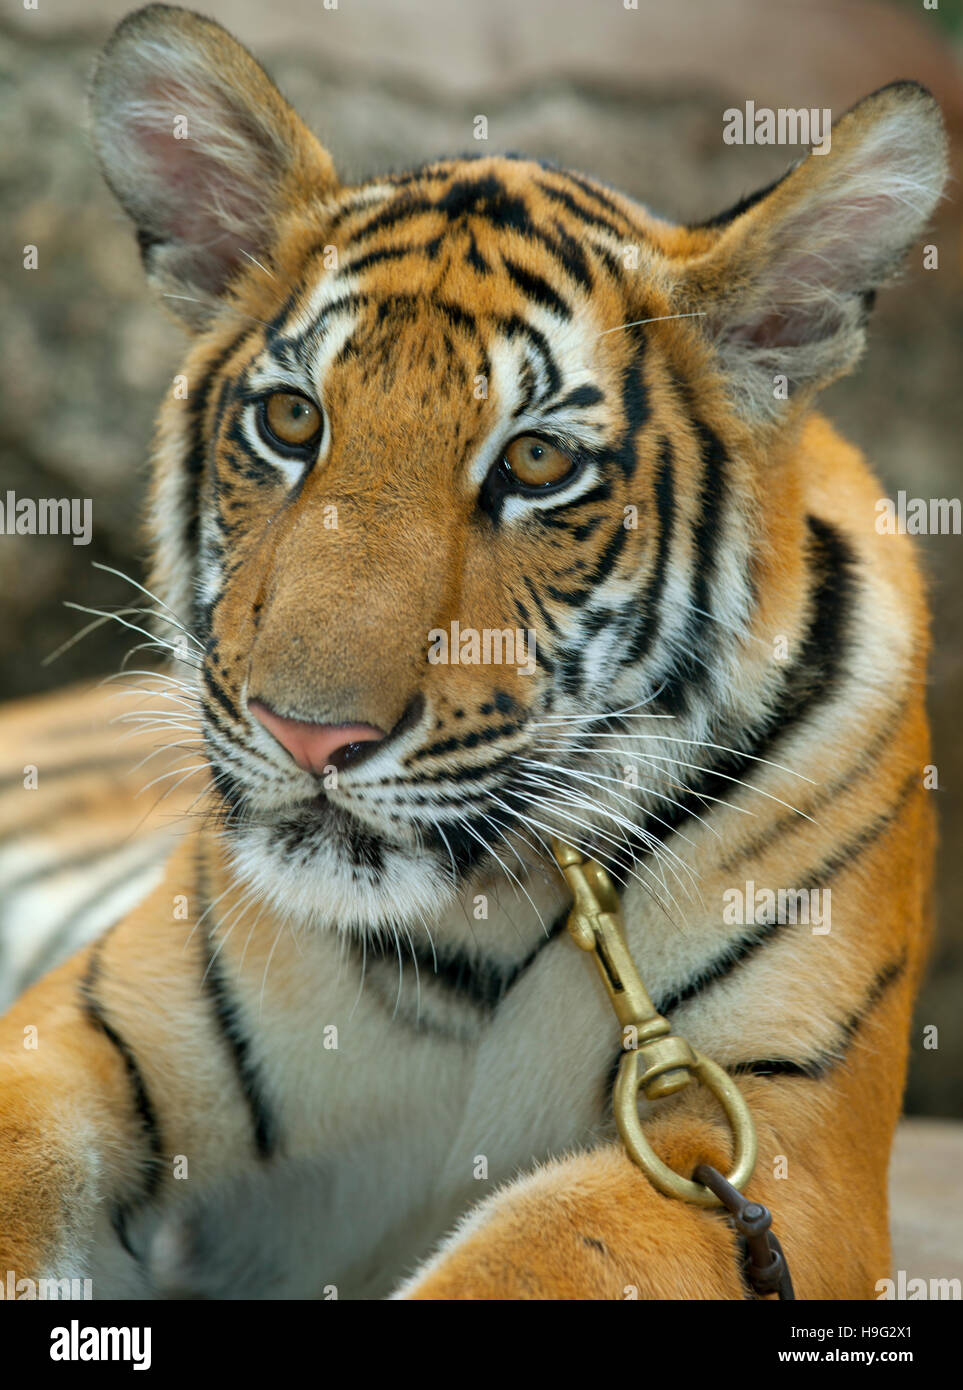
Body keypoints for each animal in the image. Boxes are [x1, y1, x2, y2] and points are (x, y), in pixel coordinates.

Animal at [0, 1, 947, 1301]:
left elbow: (540, 1256)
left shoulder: (776, 1144)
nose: (311, 736)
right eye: (290, 419)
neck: (467, 929)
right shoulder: (85, 1039)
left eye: (537, 463)